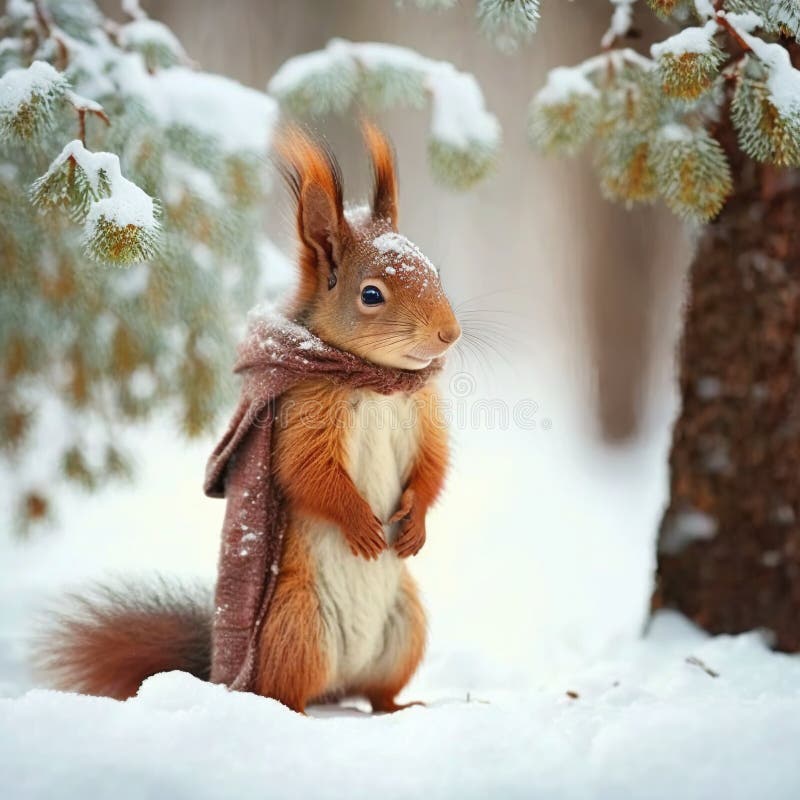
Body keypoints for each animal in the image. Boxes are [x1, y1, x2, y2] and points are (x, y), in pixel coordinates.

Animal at [34, 122, 461, 714]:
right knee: (284, 690)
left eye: (435, 270)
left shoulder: (423, 414)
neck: (374, 384)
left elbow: (432, 467)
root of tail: (335, 685)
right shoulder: (304, 413)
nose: (450, 334)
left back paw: (402, 706)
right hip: (297, 621)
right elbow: (308, 472)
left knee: (377, 693)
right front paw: (360, 525)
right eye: (371, 294)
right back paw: (293, 710)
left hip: (404, 628)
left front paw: (414, 524)